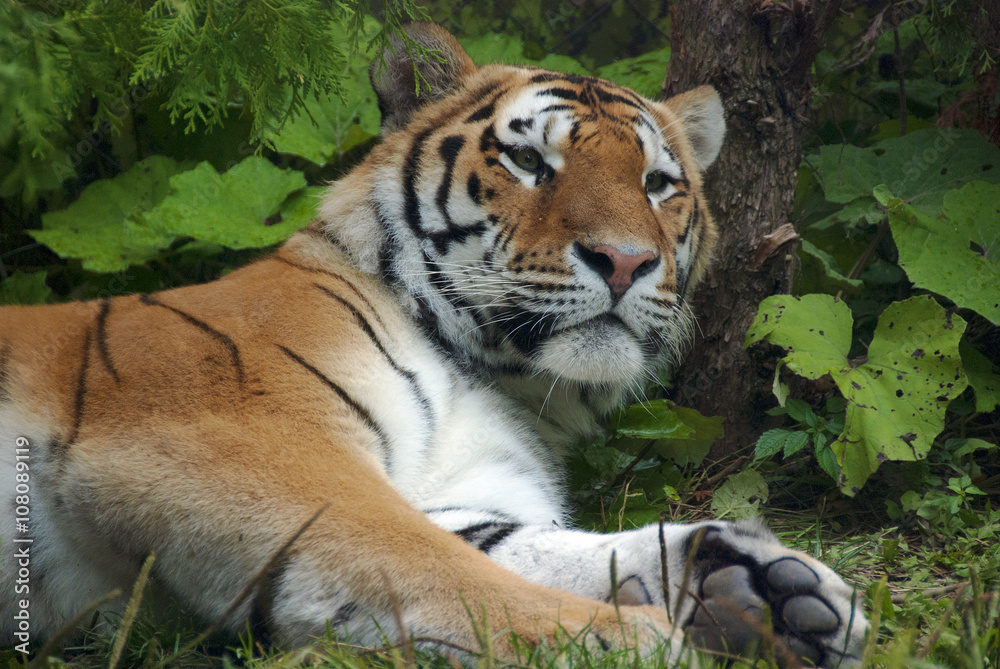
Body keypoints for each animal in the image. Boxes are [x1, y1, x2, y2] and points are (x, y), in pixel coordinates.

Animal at [0, 23, 867, 666]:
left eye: (658, 183)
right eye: (529, 161)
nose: (625, 260)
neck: (490, 374)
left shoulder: (461, 489)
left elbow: (523, 549)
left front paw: (776, 590)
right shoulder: (241, 438)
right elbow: (437, 566)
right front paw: (633, 641)